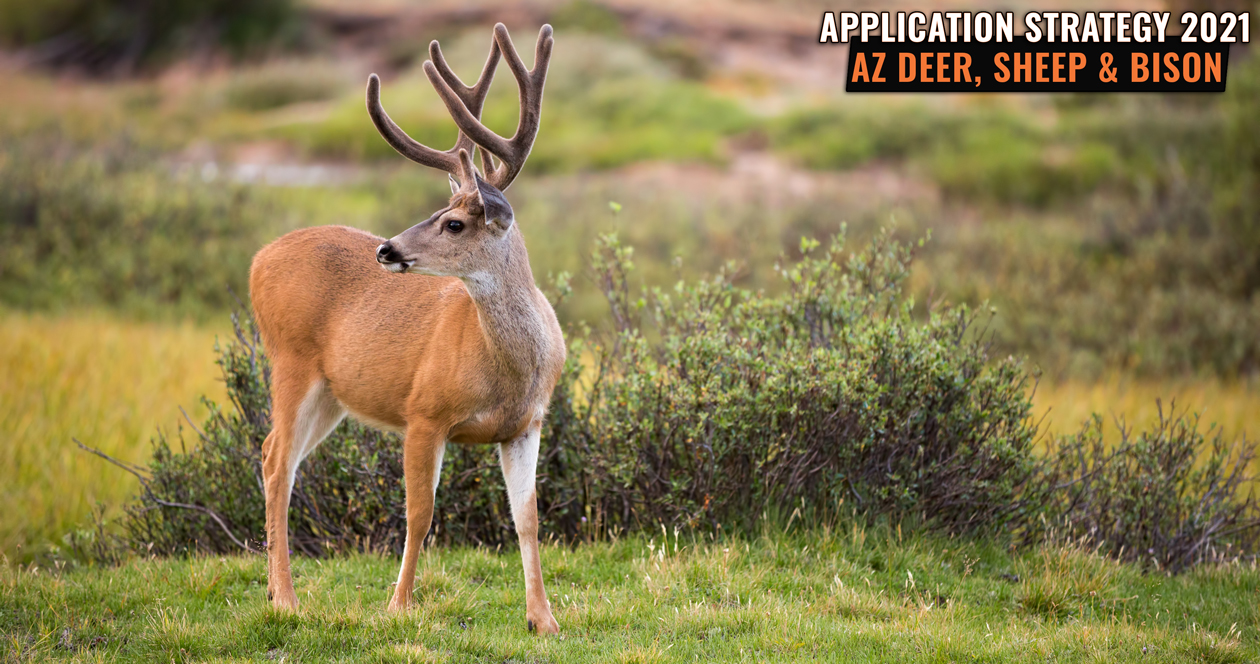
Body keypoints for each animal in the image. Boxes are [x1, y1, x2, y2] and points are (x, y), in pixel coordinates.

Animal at [248, 23, 562, 634]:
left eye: (454, 222)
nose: (386, 249)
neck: (507, 369)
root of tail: (257, 259)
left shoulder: (527, 423)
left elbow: (528, 518)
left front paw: (544, 619)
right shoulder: (425, 411)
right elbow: (420, 513)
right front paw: (398, 606)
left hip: (333, 395)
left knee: (281, 456)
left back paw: (276, 592)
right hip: (290, 361)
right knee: (276, 461)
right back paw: (287, 599)